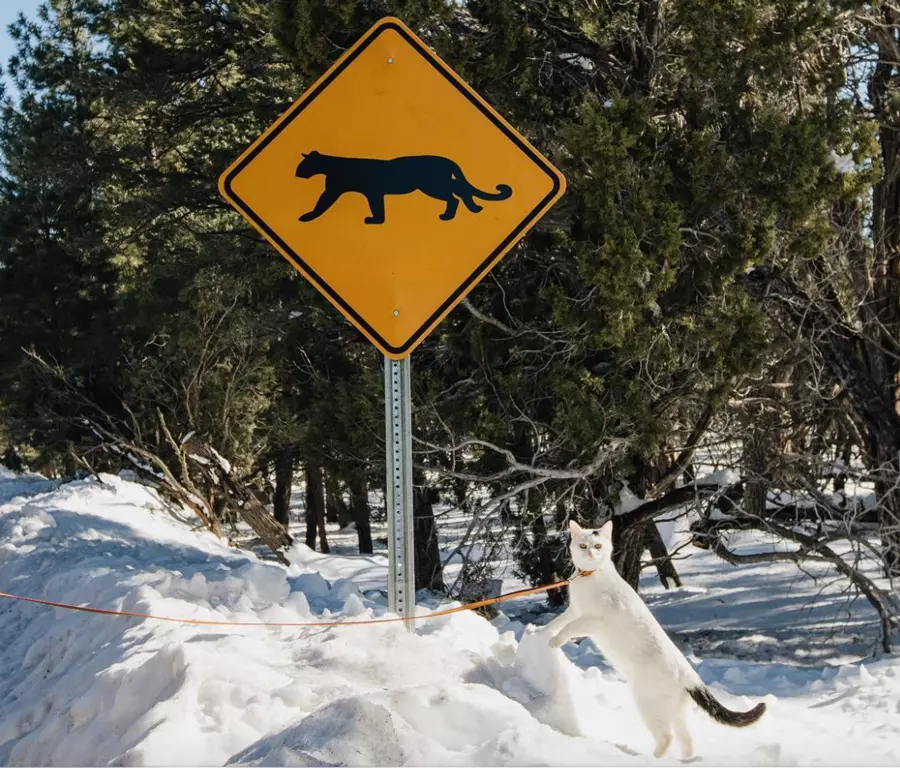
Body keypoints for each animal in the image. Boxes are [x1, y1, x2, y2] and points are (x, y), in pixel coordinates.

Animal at [544, 520, 764, 760]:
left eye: (598, 545)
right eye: (583, 545)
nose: (591, 553)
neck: (589, 577)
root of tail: (692, 677)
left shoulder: (592, 620)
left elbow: (569, 628)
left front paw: (554, 641)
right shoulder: (575, 610)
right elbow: (558, 622)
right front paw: (542, 630)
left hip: (649, 705)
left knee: (667, 737)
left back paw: (650, 758)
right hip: (673, 712)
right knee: (686, 739)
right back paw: (685, 761)